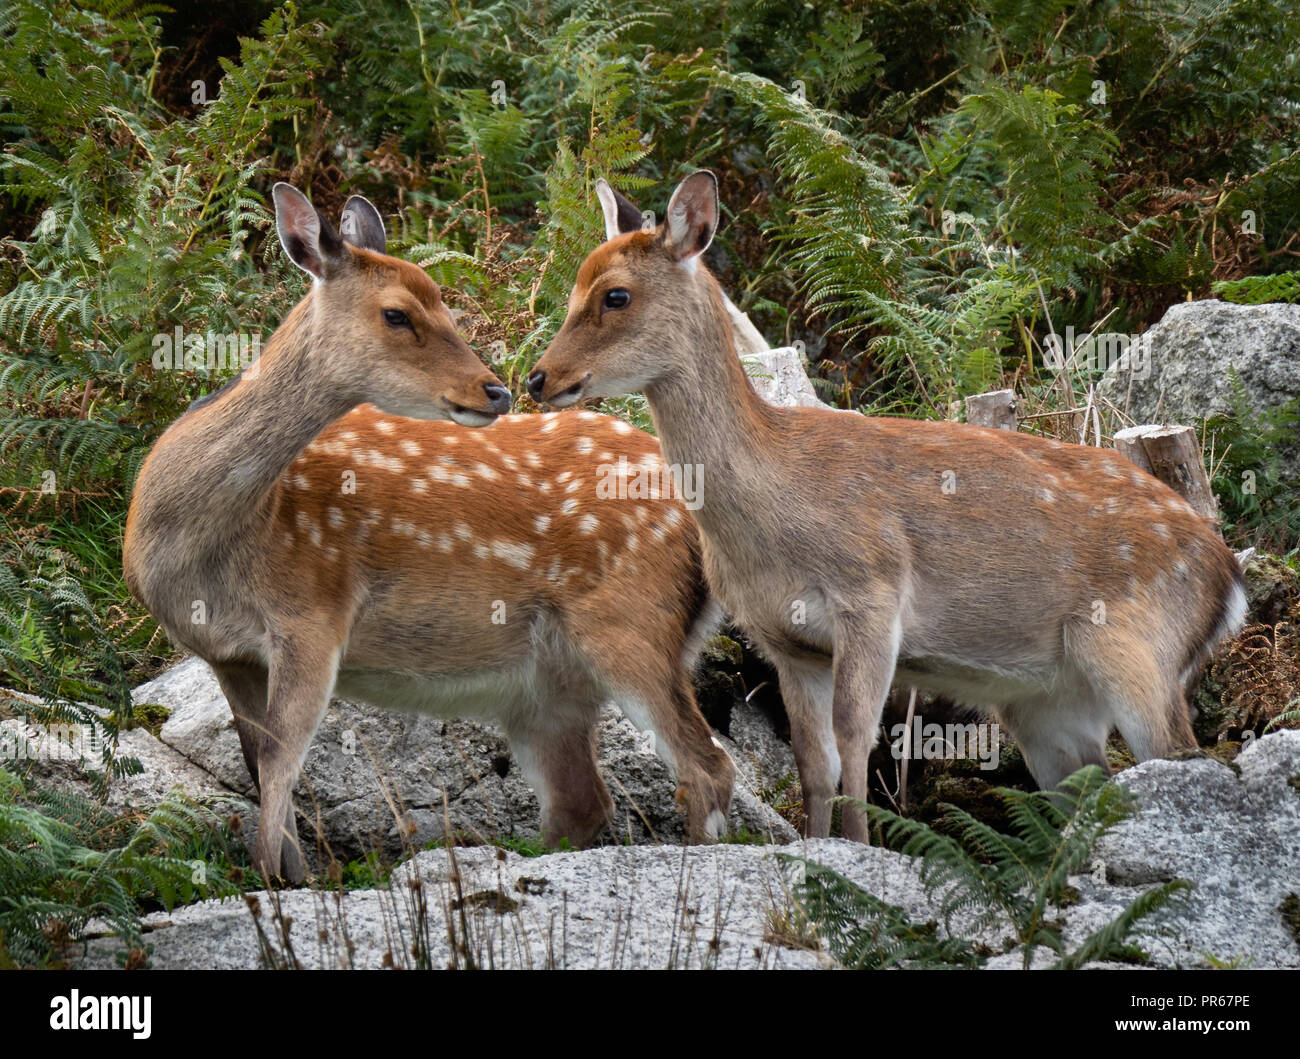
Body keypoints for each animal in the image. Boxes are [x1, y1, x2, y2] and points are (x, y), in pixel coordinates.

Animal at [124, 183, 734, 883]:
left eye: (443, 299)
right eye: (397, 313)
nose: (497, 389)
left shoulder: (314, 613)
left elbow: (280, 765)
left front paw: (283, 885)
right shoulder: (226, 654)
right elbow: (260, 764)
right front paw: (287, 876)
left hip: (630, 620)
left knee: (707, 767)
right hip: (547, 687)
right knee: (584, 802)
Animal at [527, 170, 1247, 841]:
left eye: (615, 295)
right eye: (574, 286)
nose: (537, 377)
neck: (775, 511)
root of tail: (1229, 577)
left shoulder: (872, 593)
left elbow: (854, 738)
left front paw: (861, 845)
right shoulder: (785, 641)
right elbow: (813, 761)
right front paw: (819, 846)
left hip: (1140, 645)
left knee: (1178, 755)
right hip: (1050, 700)